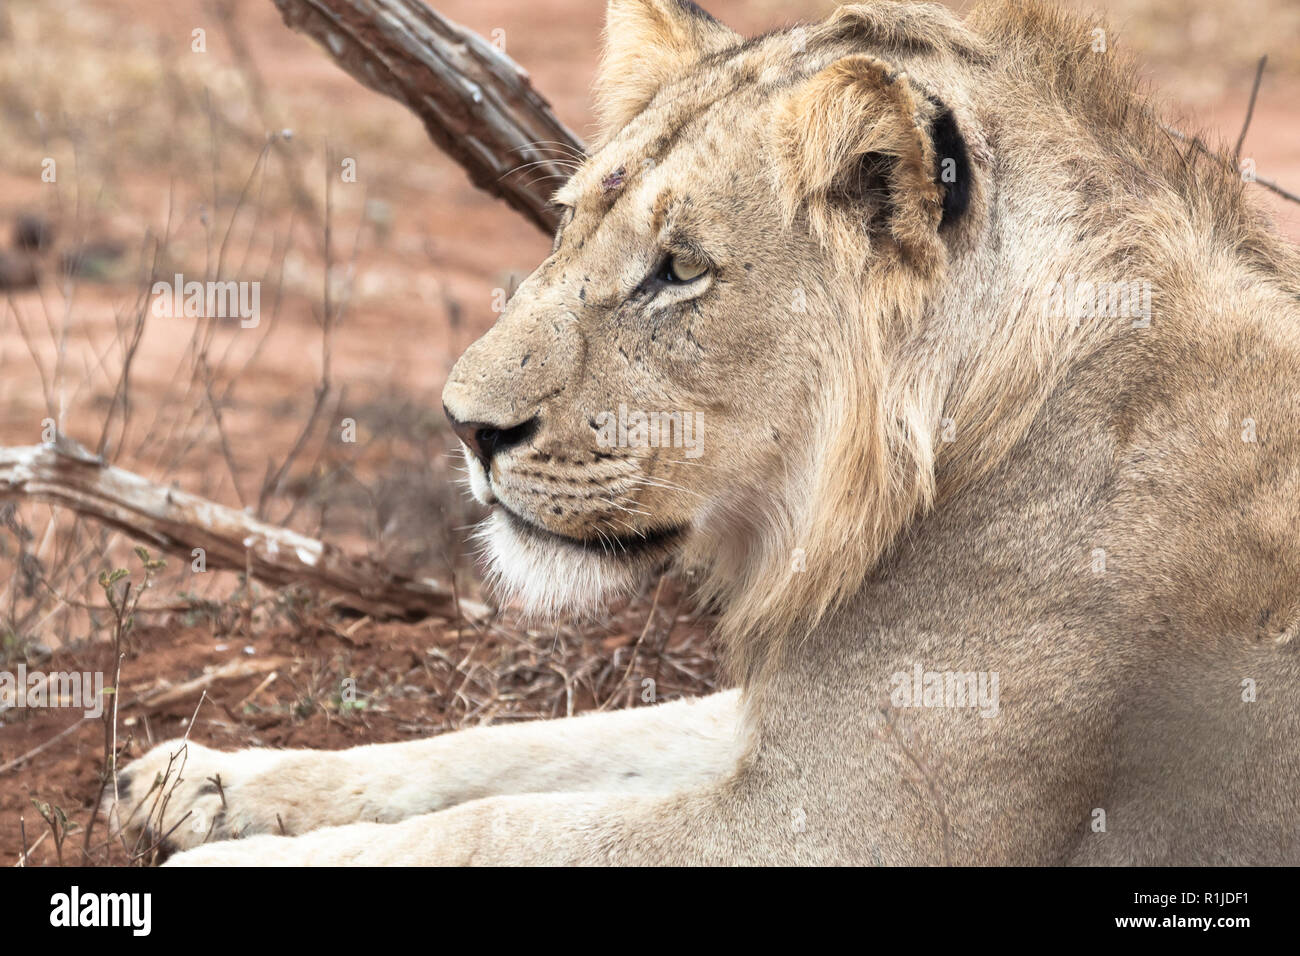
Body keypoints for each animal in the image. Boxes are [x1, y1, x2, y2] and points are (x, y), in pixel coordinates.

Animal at [113, 0, 1300, 865]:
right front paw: (201, 777)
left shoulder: (851, 827)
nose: (465, 426)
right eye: (567, 224)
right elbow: (520, 747)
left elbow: (500, 829)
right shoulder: (781, 740)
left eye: (678, 271)